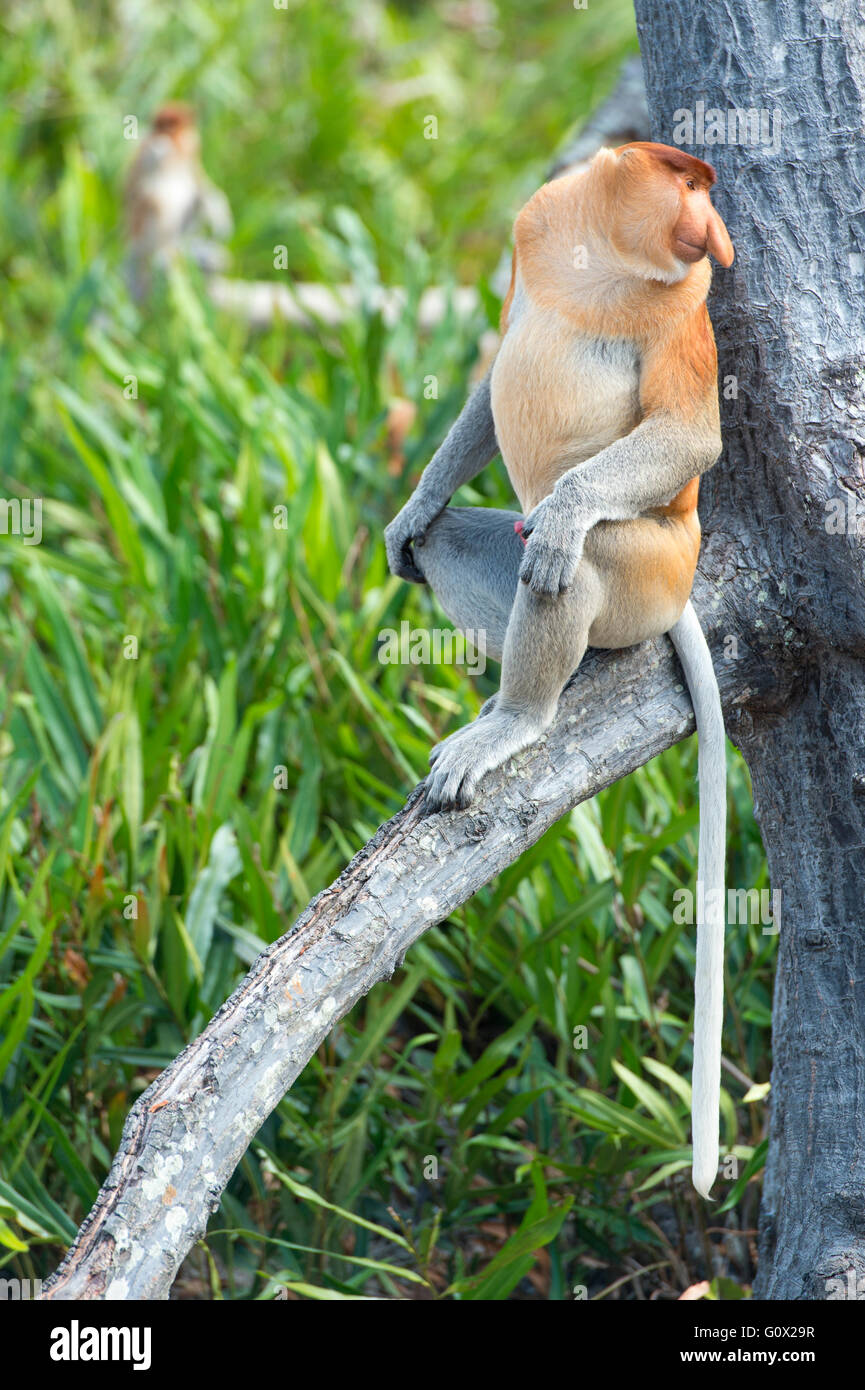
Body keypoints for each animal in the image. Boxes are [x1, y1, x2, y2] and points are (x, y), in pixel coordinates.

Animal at [124, 102, 233, 300]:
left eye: (171, 124)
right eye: (159, 125)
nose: (161, 136)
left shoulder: (192, 151)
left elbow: (201, 184)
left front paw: (220, 215)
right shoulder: (146, 152)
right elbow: (138, 189)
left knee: (194, 202)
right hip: (142, 236)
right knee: (155, 200)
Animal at [384, 142, 734, 1199]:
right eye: (692, 184)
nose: (718, 230)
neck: (598, 251)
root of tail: (679, 590)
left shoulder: (687, 303)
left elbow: (689, 431)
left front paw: (572, 503)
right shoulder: (531, 230)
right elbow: (495, 360)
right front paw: (408, 511)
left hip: (646, 572)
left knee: (569, 558)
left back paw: (520, 715)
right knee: (467, 546)